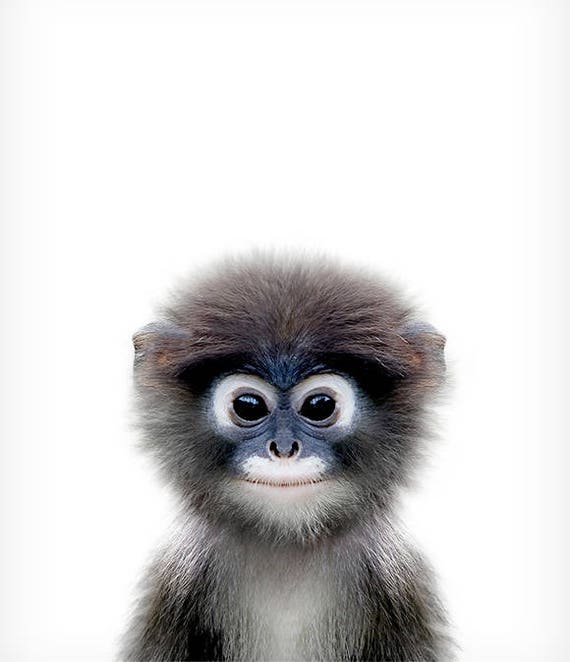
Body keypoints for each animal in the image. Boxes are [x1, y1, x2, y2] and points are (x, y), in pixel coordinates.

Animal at [120, 254, 455, 662]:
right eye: (247, 406)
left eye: (319, 405)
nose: (283, 449)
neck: (287, 545)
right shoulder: (176, 578)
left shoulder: (400, 579)